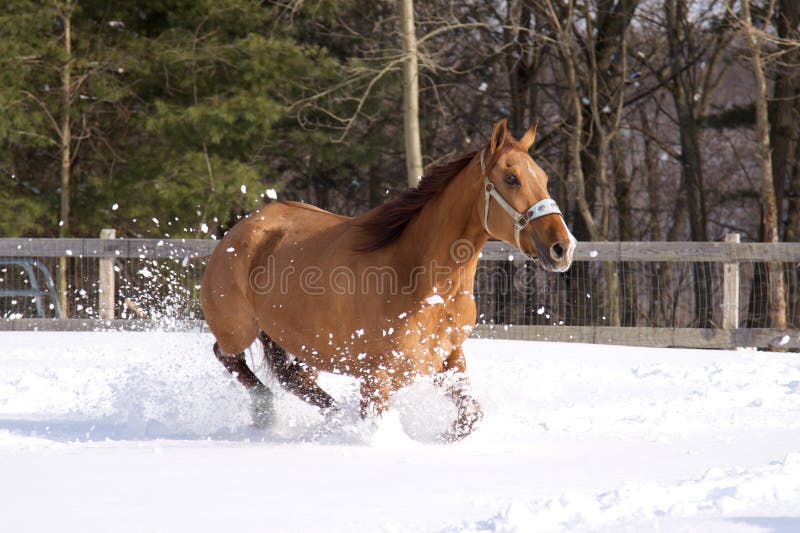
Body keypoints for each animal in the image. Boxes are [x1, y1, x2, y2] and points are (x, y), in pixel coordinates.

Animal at [200, 118, 576, 441]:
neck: (426, 284)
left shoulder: (448, 357)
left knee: (296, 378)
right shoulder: (376, 375)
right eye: (511, 179)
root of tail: (242, 229)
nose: (563, 247)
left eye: (544, 178)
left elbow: (470, 416)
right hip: (240, 329)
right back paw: (267, 411)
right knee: (227, 355)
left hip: (303, 343)